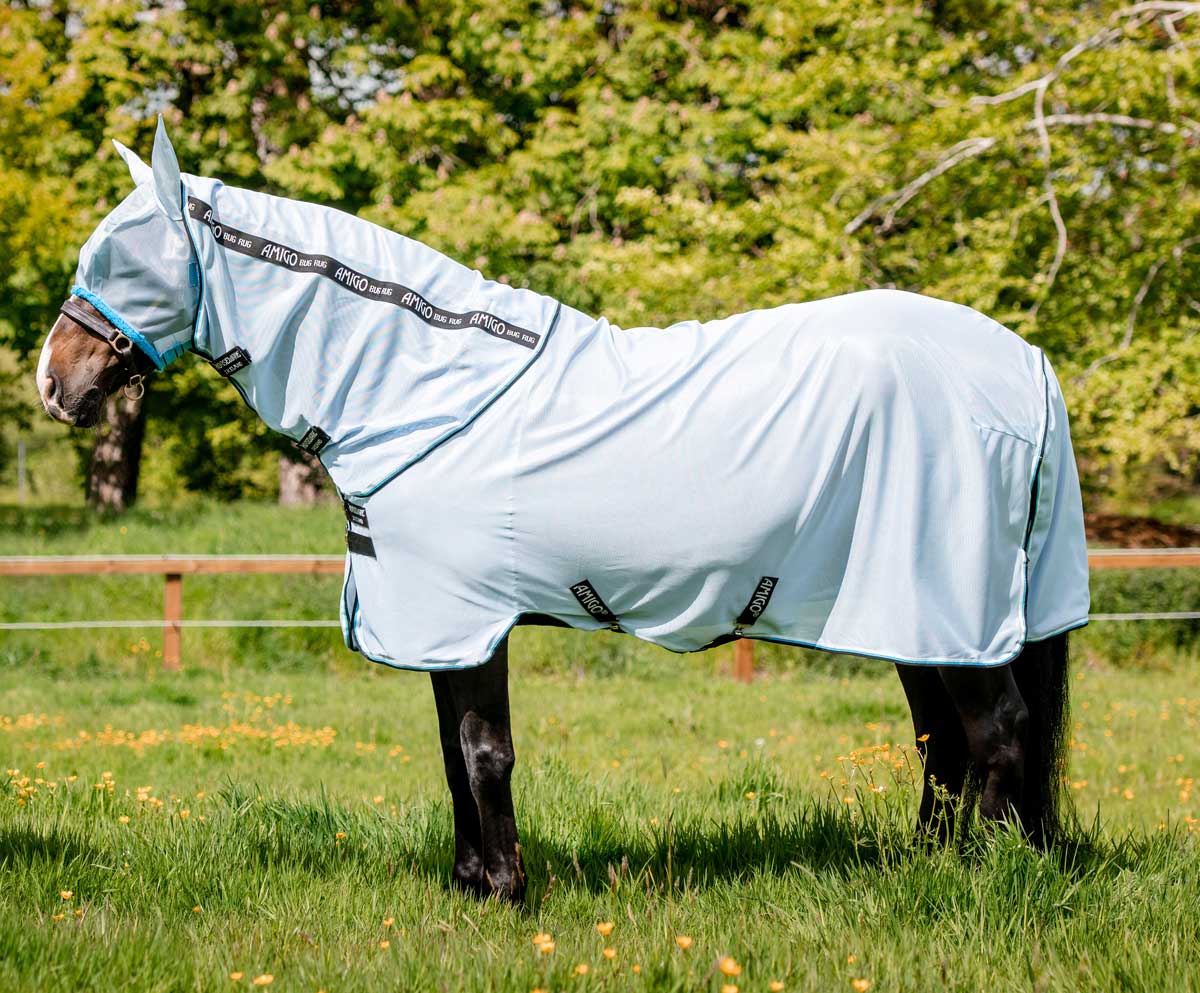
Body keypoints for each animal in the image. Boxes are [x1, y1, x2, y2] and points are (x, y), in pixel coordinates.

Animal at [36, 119, 1089, 903]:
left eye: (129, 261)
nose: (53, 384)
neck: (428, 389)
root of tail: (1022, 361)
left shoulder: (466, 616)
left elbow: (482, 751)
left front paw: (506, 889)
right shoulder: (444, 624)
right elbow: (451, 753)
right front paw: (470, 885)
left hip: (949, 610)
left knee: (998, 732)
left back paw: (982, 878)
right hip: (910, 613)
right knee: (944, 742)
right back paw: (927, 865)